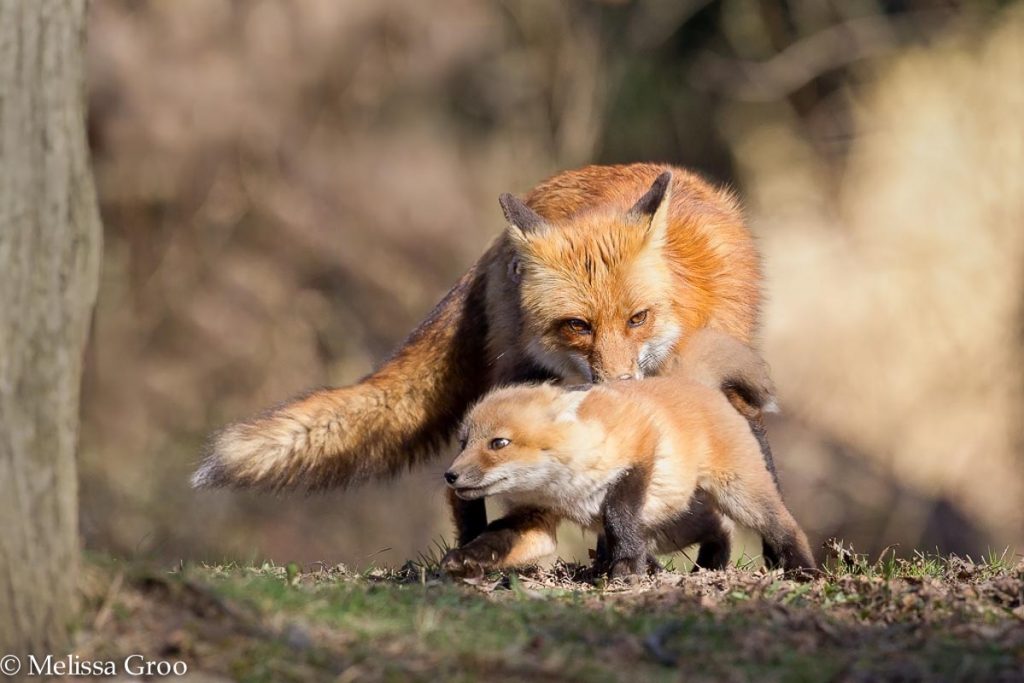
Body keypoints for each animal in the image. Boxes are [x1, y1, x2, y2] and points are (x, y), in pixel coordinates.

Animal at [441, 330, 814, 579]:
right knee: (720, 528)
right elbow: (496, 541)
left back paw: (803, 571)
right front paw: (462, 559)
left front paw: (624, 570)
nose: (450, 475)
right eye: (463, 442)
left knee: (783, 527)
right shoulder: (535, 516)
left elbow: (618, 516)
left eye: (498, 443)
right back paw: (702, 567)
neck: (562, 488)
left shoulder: (638, 450)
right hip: (672, 522)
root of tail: (691, 382)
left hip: (738, 495)